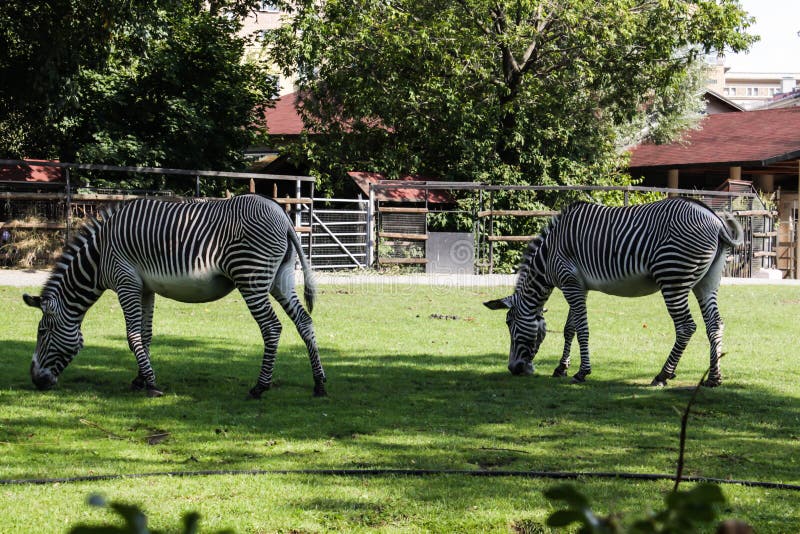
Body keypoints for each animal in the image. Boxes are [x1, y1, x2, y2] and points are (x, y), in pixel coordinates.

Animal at [23, 194, 326, 399]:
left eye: (42, 332)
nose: (35, 380)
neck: (98, 258)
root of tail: (282, 215)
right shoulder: (144, 287)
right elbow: (145, 335)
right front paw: (141, 379)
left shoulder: (125, 281)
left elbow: (132, 335)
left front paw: (151, 385)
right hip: (279, 278)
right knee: (304, 322)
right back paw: (319, 383)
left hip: (251, 277)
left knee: (272, 328)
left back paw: (260, 387)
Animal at [484, 197, 744, 387]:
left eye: (510, 323)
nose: (513, 369)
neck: (548, 255)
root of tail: (715, 220)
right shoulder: (578, 286)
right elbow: (570, 329)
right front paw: (561, 368)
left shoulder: (570, 283)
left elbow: (582, 329)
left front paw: (582, 372)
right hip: (707, 282)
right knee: (715, 324)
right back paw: (714, 378)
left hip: (673, 278)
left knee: (686, 327)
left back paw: (662, 376)